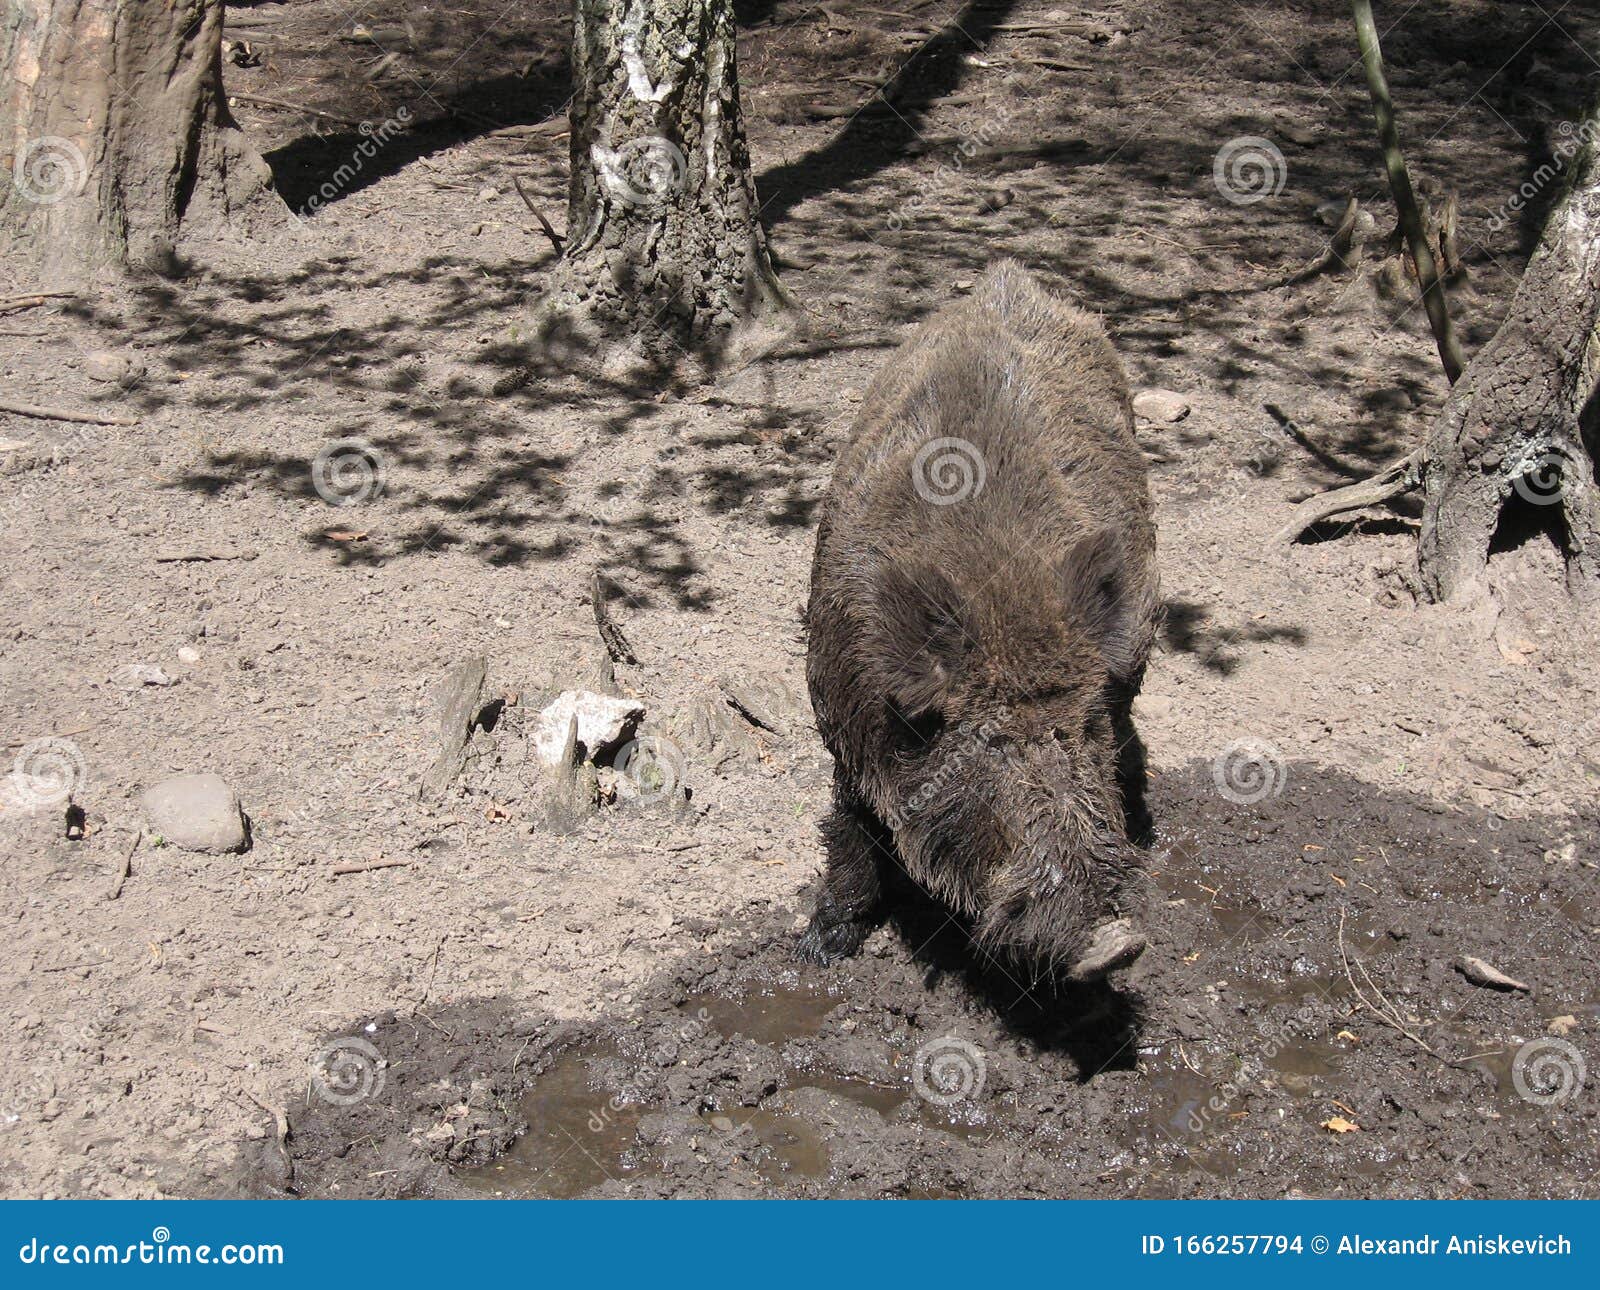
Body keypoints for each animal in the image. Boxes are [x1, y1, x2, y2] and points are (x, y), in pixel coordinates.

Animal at [798, 259, 1158, 984]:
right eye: (990, 741)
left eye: (1082, 729)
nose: (1120, 943)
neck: (1004, 602)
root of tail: (1007, 276)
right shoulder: (839, 723)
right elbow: (847, 832)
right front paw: (820, 952)